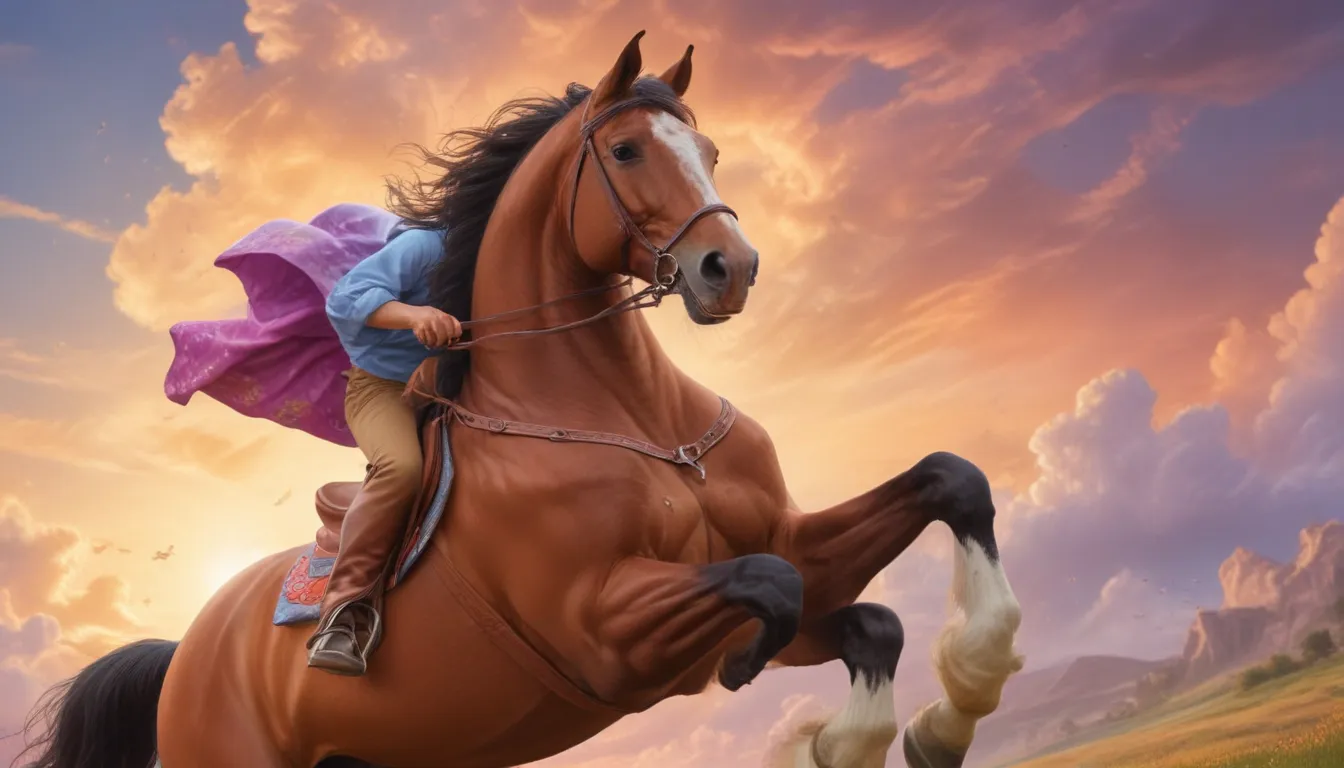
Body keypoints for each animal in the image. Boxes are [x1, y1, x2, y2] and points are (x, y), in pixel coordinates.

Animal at [16, 32, 1023, 768]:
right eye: (626, 148)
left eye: (708, 148)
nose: (729, 269)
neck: (638, 426)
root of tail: (184, 656)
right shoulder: (606, 629)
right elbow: (770, 588)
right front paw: (803, 707)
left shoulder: (798, 557)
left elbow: (936, 504)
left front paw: (953, 704)